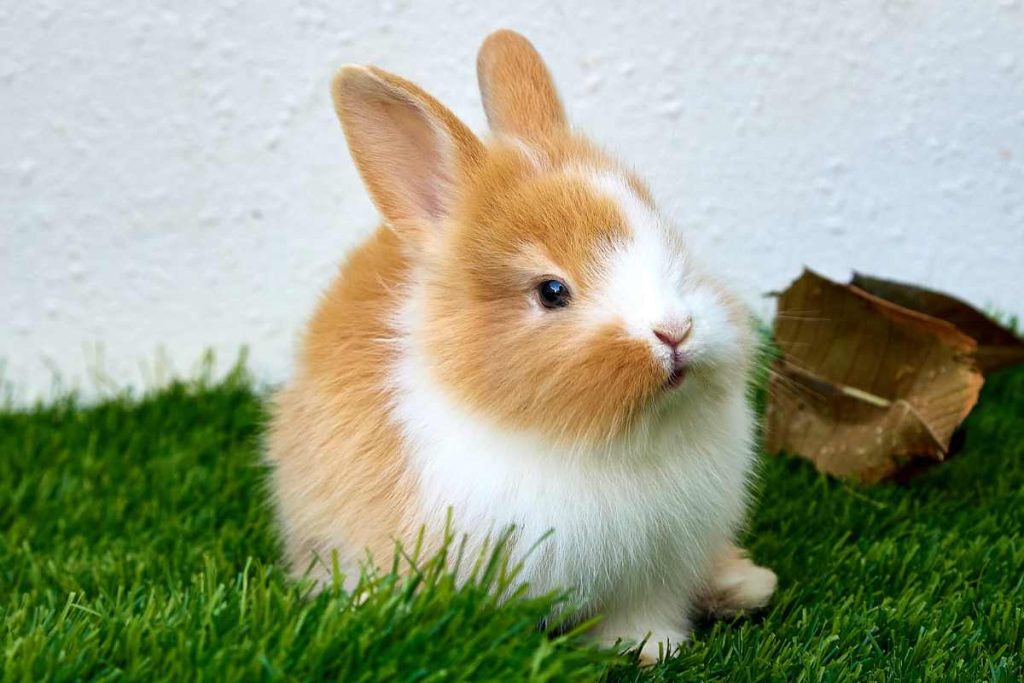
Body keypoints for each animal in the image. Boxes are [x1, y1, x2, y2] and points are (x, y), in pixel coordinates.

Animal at [266, 29, 776, 662]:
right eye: (551, 292)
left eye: (671, 244)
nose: (675, 331)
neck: (600, 441)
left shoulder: (654, 569)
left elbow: (643, 612)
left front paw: (650, 648)